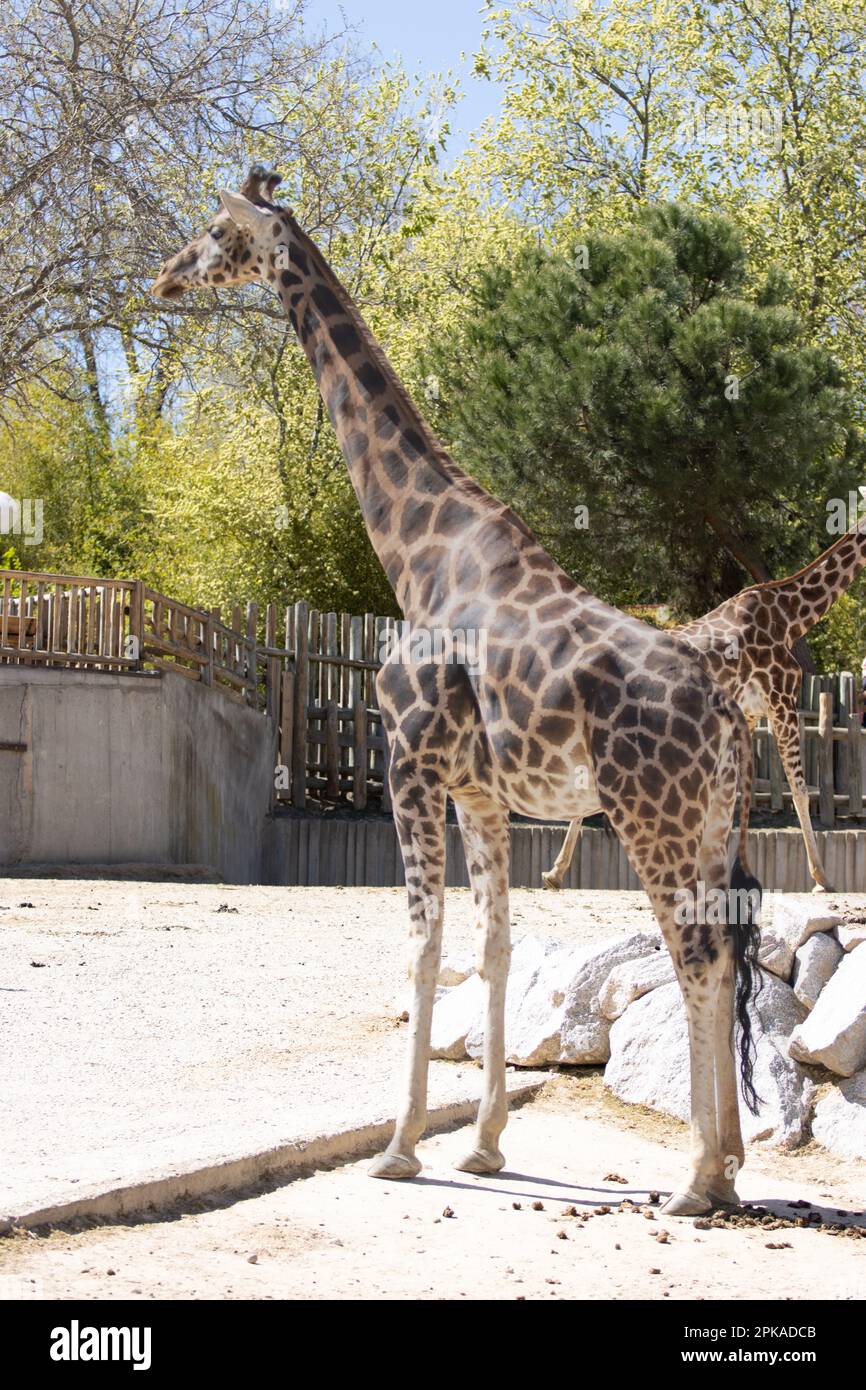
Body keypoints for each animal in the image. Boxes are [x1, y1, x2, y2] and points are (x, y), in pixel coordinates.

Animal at [151, 166, 763, 1216]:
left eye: (215, 233)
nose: (164, 276)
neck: (417, 553)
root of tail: (723, 711)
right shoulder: (482, 791)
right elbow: (496, 949)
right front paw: (482, 1145)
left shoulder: (410, 764)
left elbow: (422, 950)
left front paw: (398, 1147)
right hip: (715, 818)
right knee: (718, 954)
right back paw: (722, 1170)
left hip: (652, 814)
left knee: (692, 954)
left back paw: (695, 1180)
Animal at [542, 504, 866, 894]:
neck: (790, 617)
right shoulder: (781, 699)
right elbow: (799, 790)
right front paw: (821, 879)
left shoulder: (749, 714)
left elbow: (735, 797)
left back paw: (556, 873)